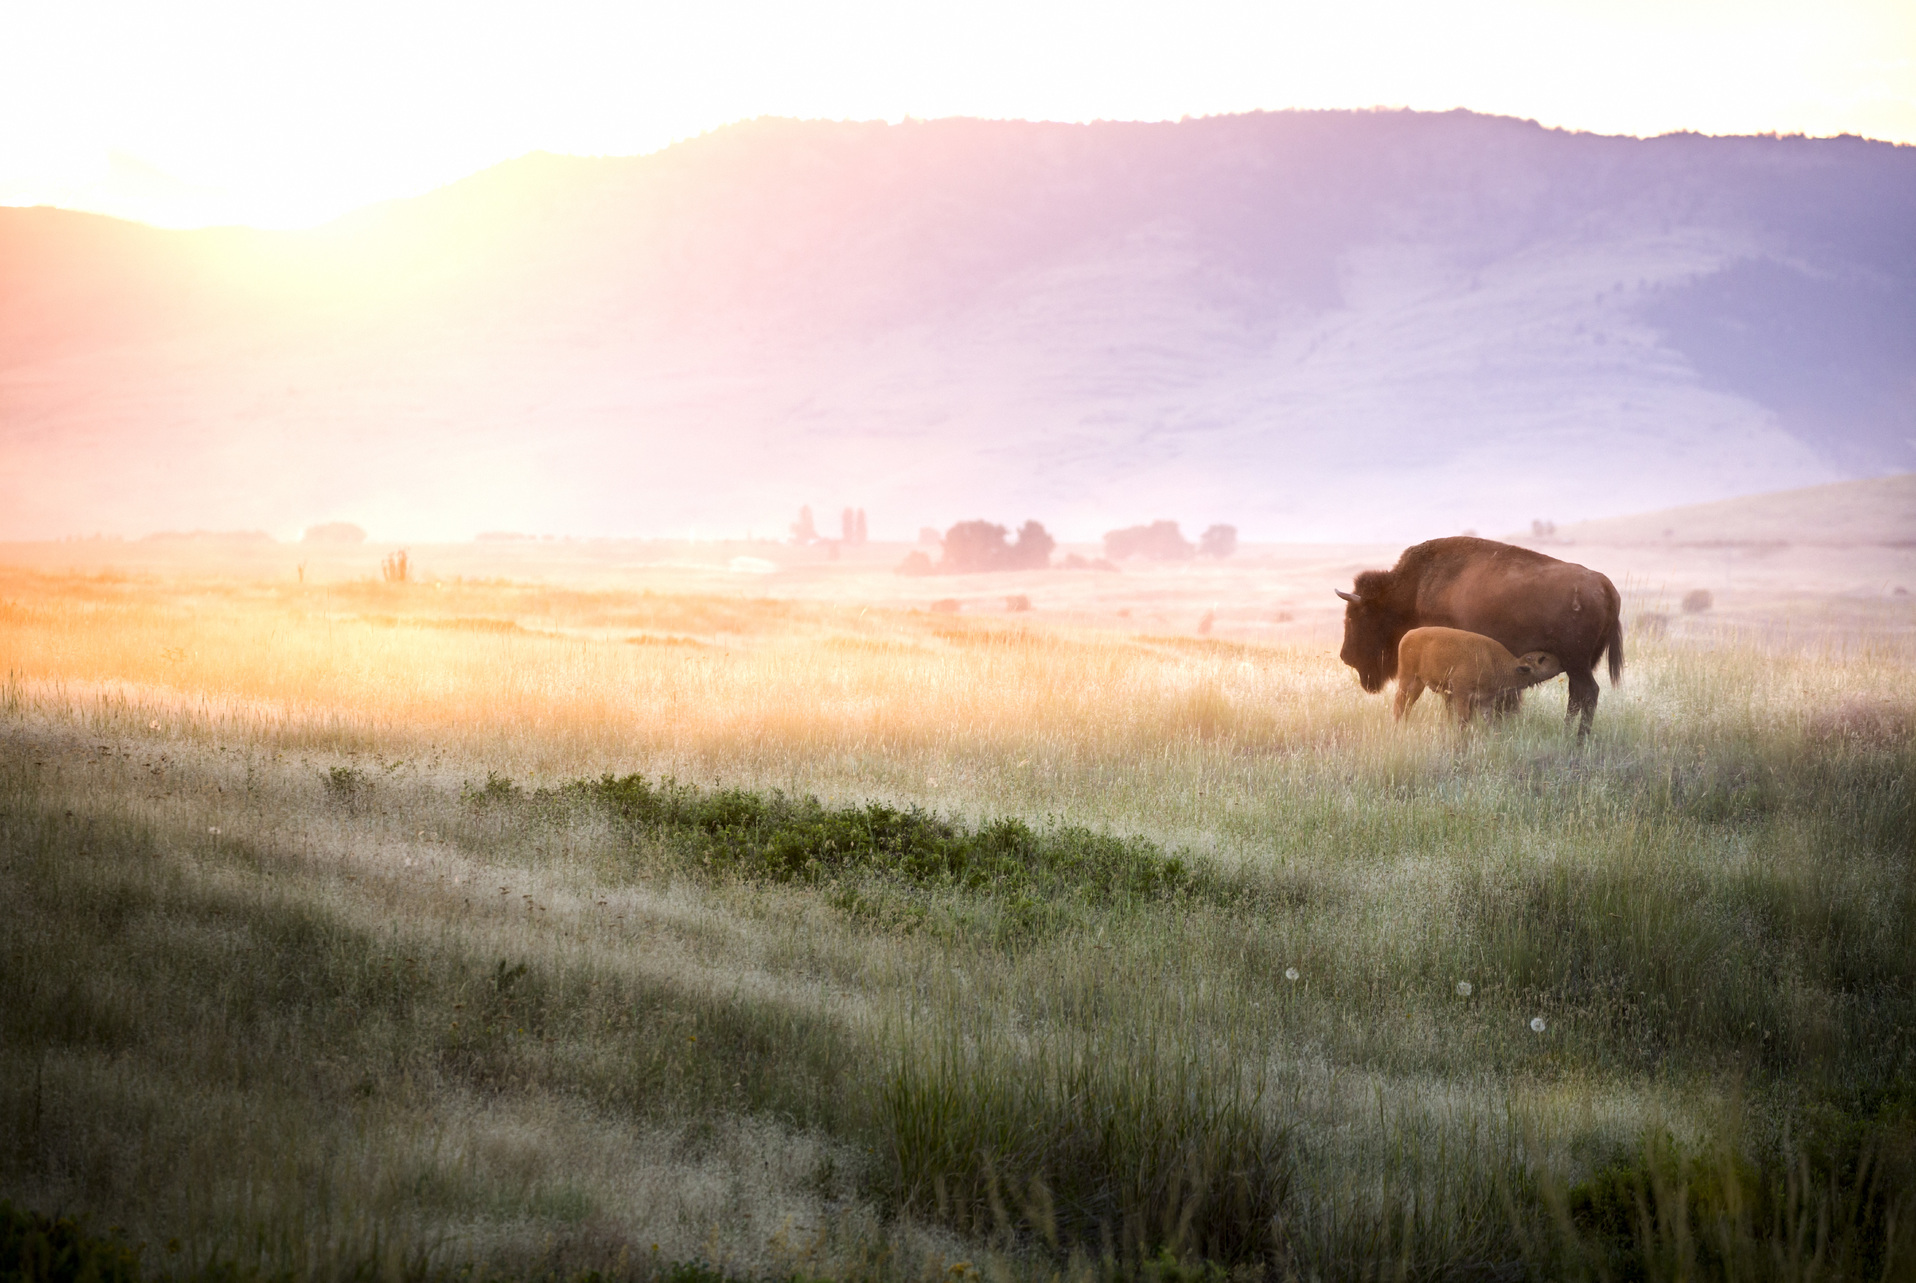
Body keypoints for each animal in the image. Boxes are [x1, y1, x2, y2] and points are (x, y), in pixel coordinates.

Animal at [1337, 537, 1623, 734]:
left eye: (1354, 617)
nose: (1345, 656)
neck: (1415, 588)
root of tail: (1605, 586)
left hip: (1576, 662)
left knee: (1588, 692)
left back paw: (1578, 740)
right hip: (1580, 664)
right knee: (1577, 695)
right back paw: (1567, 733)